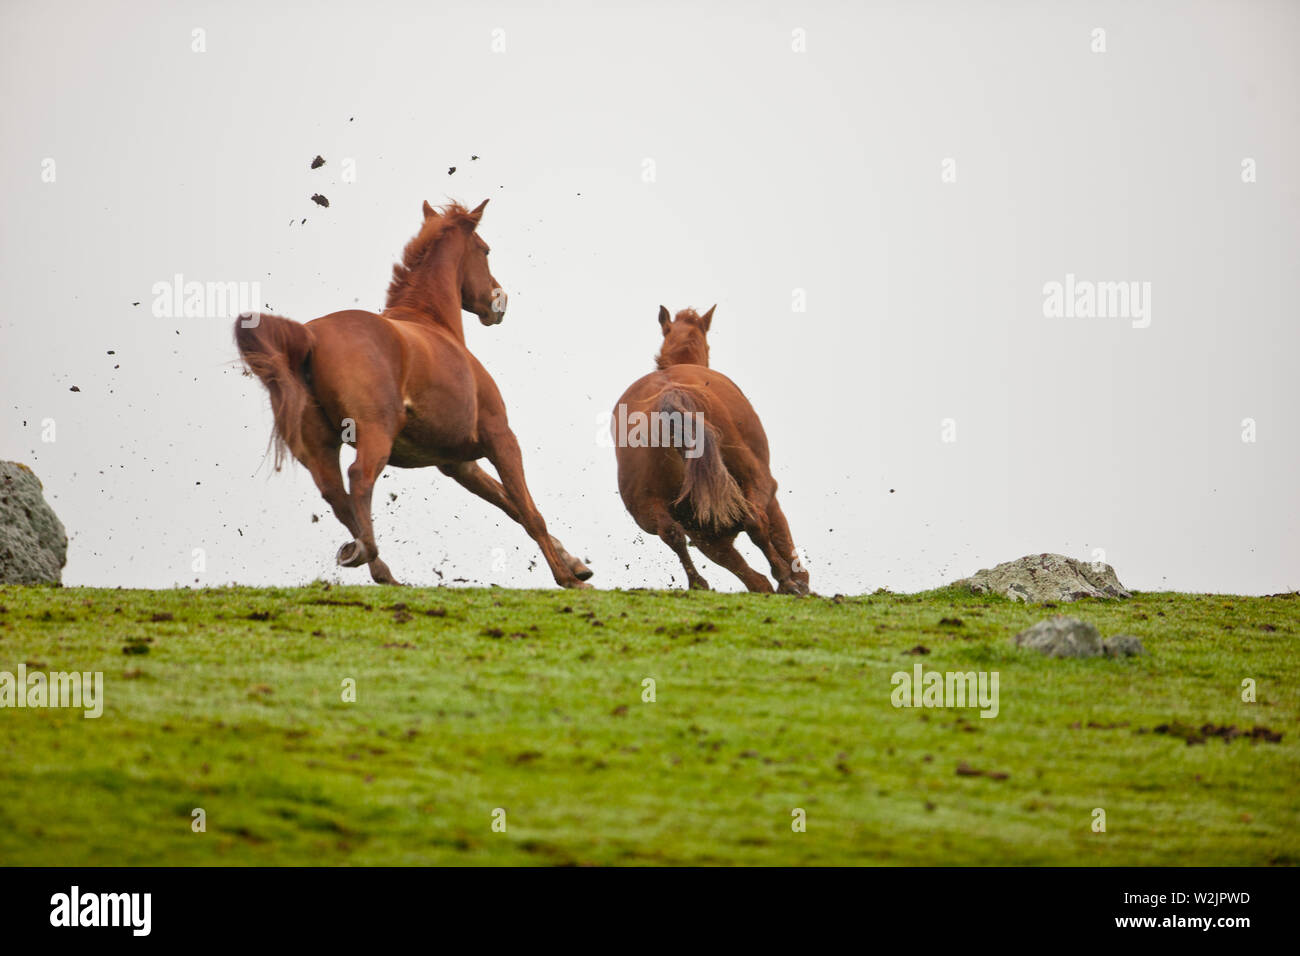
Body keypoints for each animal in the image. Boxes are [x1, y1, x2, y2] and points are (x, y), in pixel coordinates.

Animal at [234, 198, 592, 589]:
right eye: (485, 250)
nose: (499, 301)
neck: (433, 324)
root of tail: (311, 337)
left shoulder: (459, 463)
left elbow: (510, 504)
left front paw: (574, 563)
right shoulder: (500, 437)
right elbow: (529, 511)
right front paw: (569, 578)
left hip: (317, 447)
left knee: (336, 495)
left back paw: (379, 568)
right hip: (374, 432)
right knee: (358, 480)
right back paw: (369, 557)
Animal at [612, 306, 809, 594]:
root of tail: (670, 391)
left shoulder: (706, 535)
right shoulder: (770, 497)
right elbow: (783, 541)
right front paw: (796, 581)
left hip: (653, 509)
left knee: (672, 534)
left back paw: (698, 583)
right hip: (754, 481)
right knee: (755, 521)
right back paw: (786, 579)